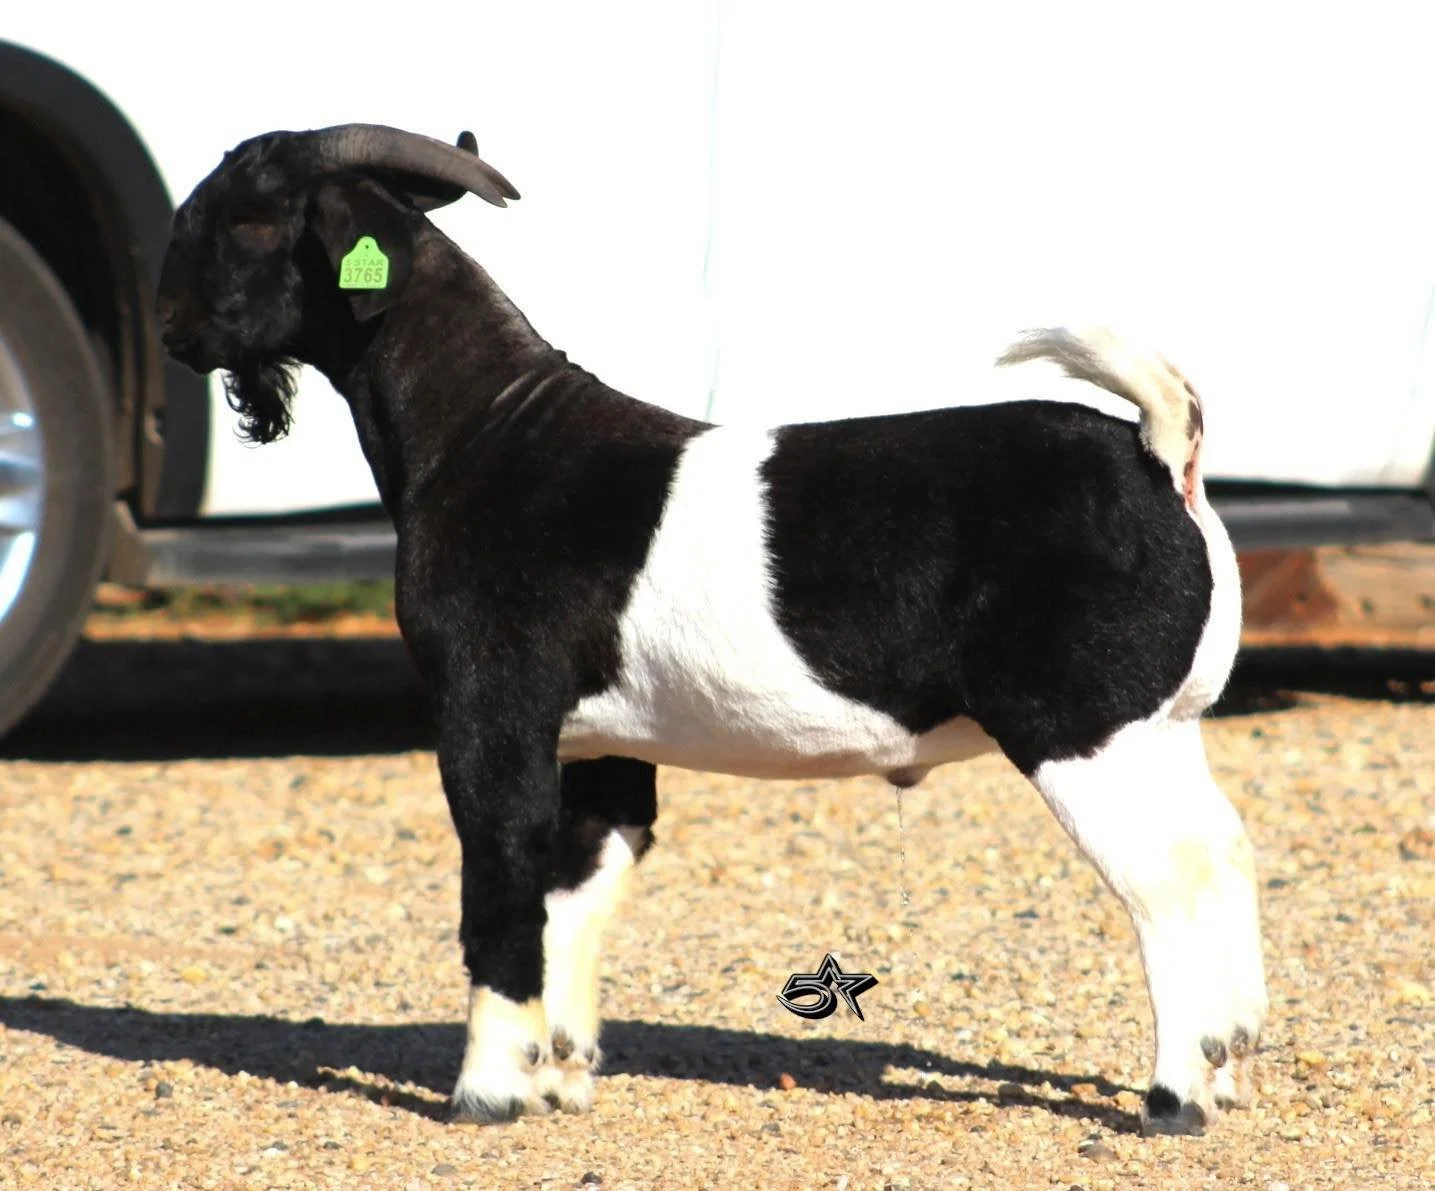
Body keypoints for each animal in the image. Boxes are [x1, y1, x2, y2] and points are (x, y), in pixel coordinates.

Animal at [156, 123, 1265, 1137]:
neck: (493, 430)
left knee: (1169, 880)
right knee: (1224, 848)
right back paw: (1229, 1061)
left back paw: (1174, 1096)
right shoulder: (597, 749)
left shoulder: (490, 721)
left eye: (249, 218)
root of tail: (1159, 452)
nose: (169, 328)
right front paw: (560, 1078)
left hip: (1080, 729)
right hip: (1160, 724)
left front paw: (487, 1092)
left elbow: (502, 892)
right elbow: (574, 898)